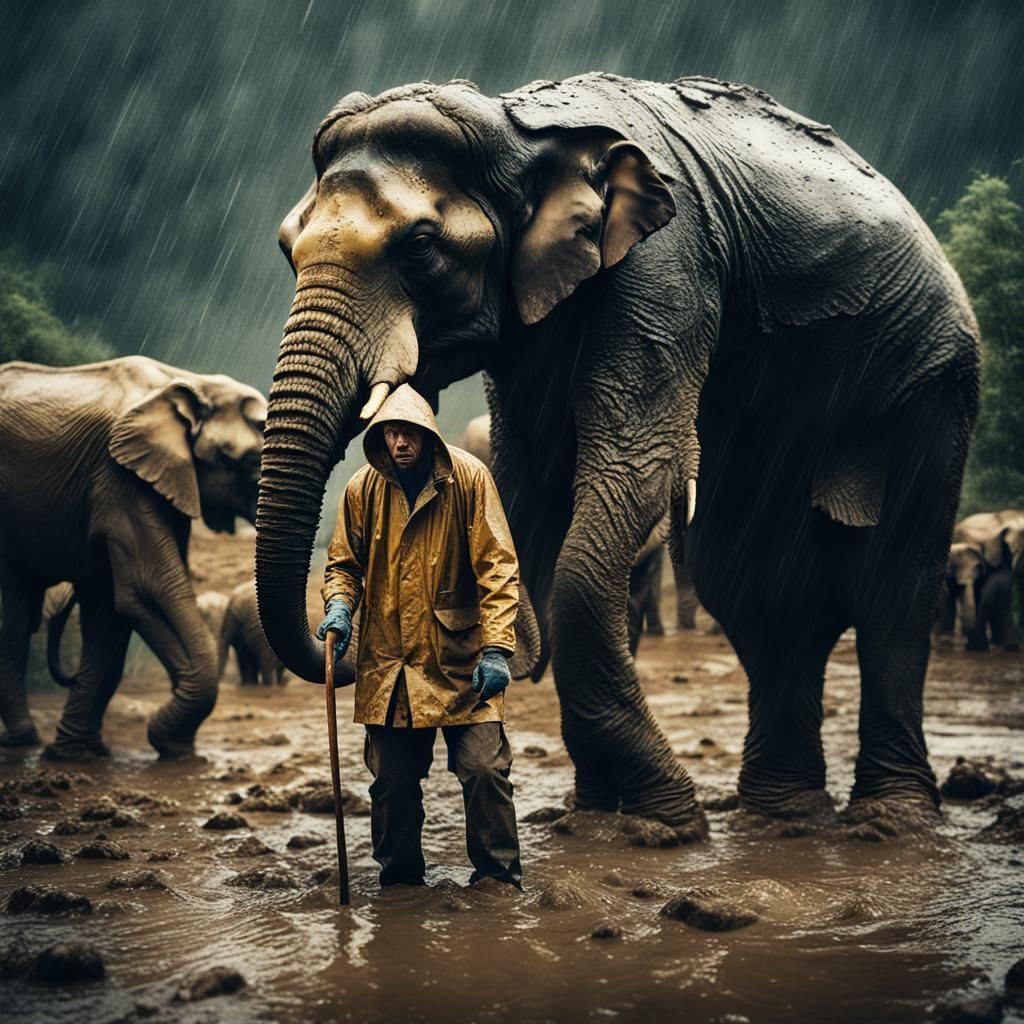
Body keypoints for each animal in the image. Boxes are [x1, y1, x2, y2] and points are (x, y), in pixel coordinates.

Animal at [0, 356, 266, 758]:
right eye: (251, 461)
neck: (191, 382)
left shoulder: (158, 477)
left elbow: (115, 604)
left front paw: (80, 754)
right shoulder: (119, 473)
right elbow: (147, 585)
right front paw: (170, 745)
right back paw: (21, 741)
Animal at [255, 73, 980, 834]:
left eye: (421, 247)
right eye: (285, 248)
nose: (335, 643)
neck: (512, 127)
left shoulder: (666, 270)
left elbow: (629, 471)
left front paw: (666, 823)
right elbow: (530, 481)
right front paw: (598, 816)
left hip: (932, 373)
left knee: (893, 586)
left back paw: (888, 818)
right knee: (755, 594)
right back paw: (783, 813)